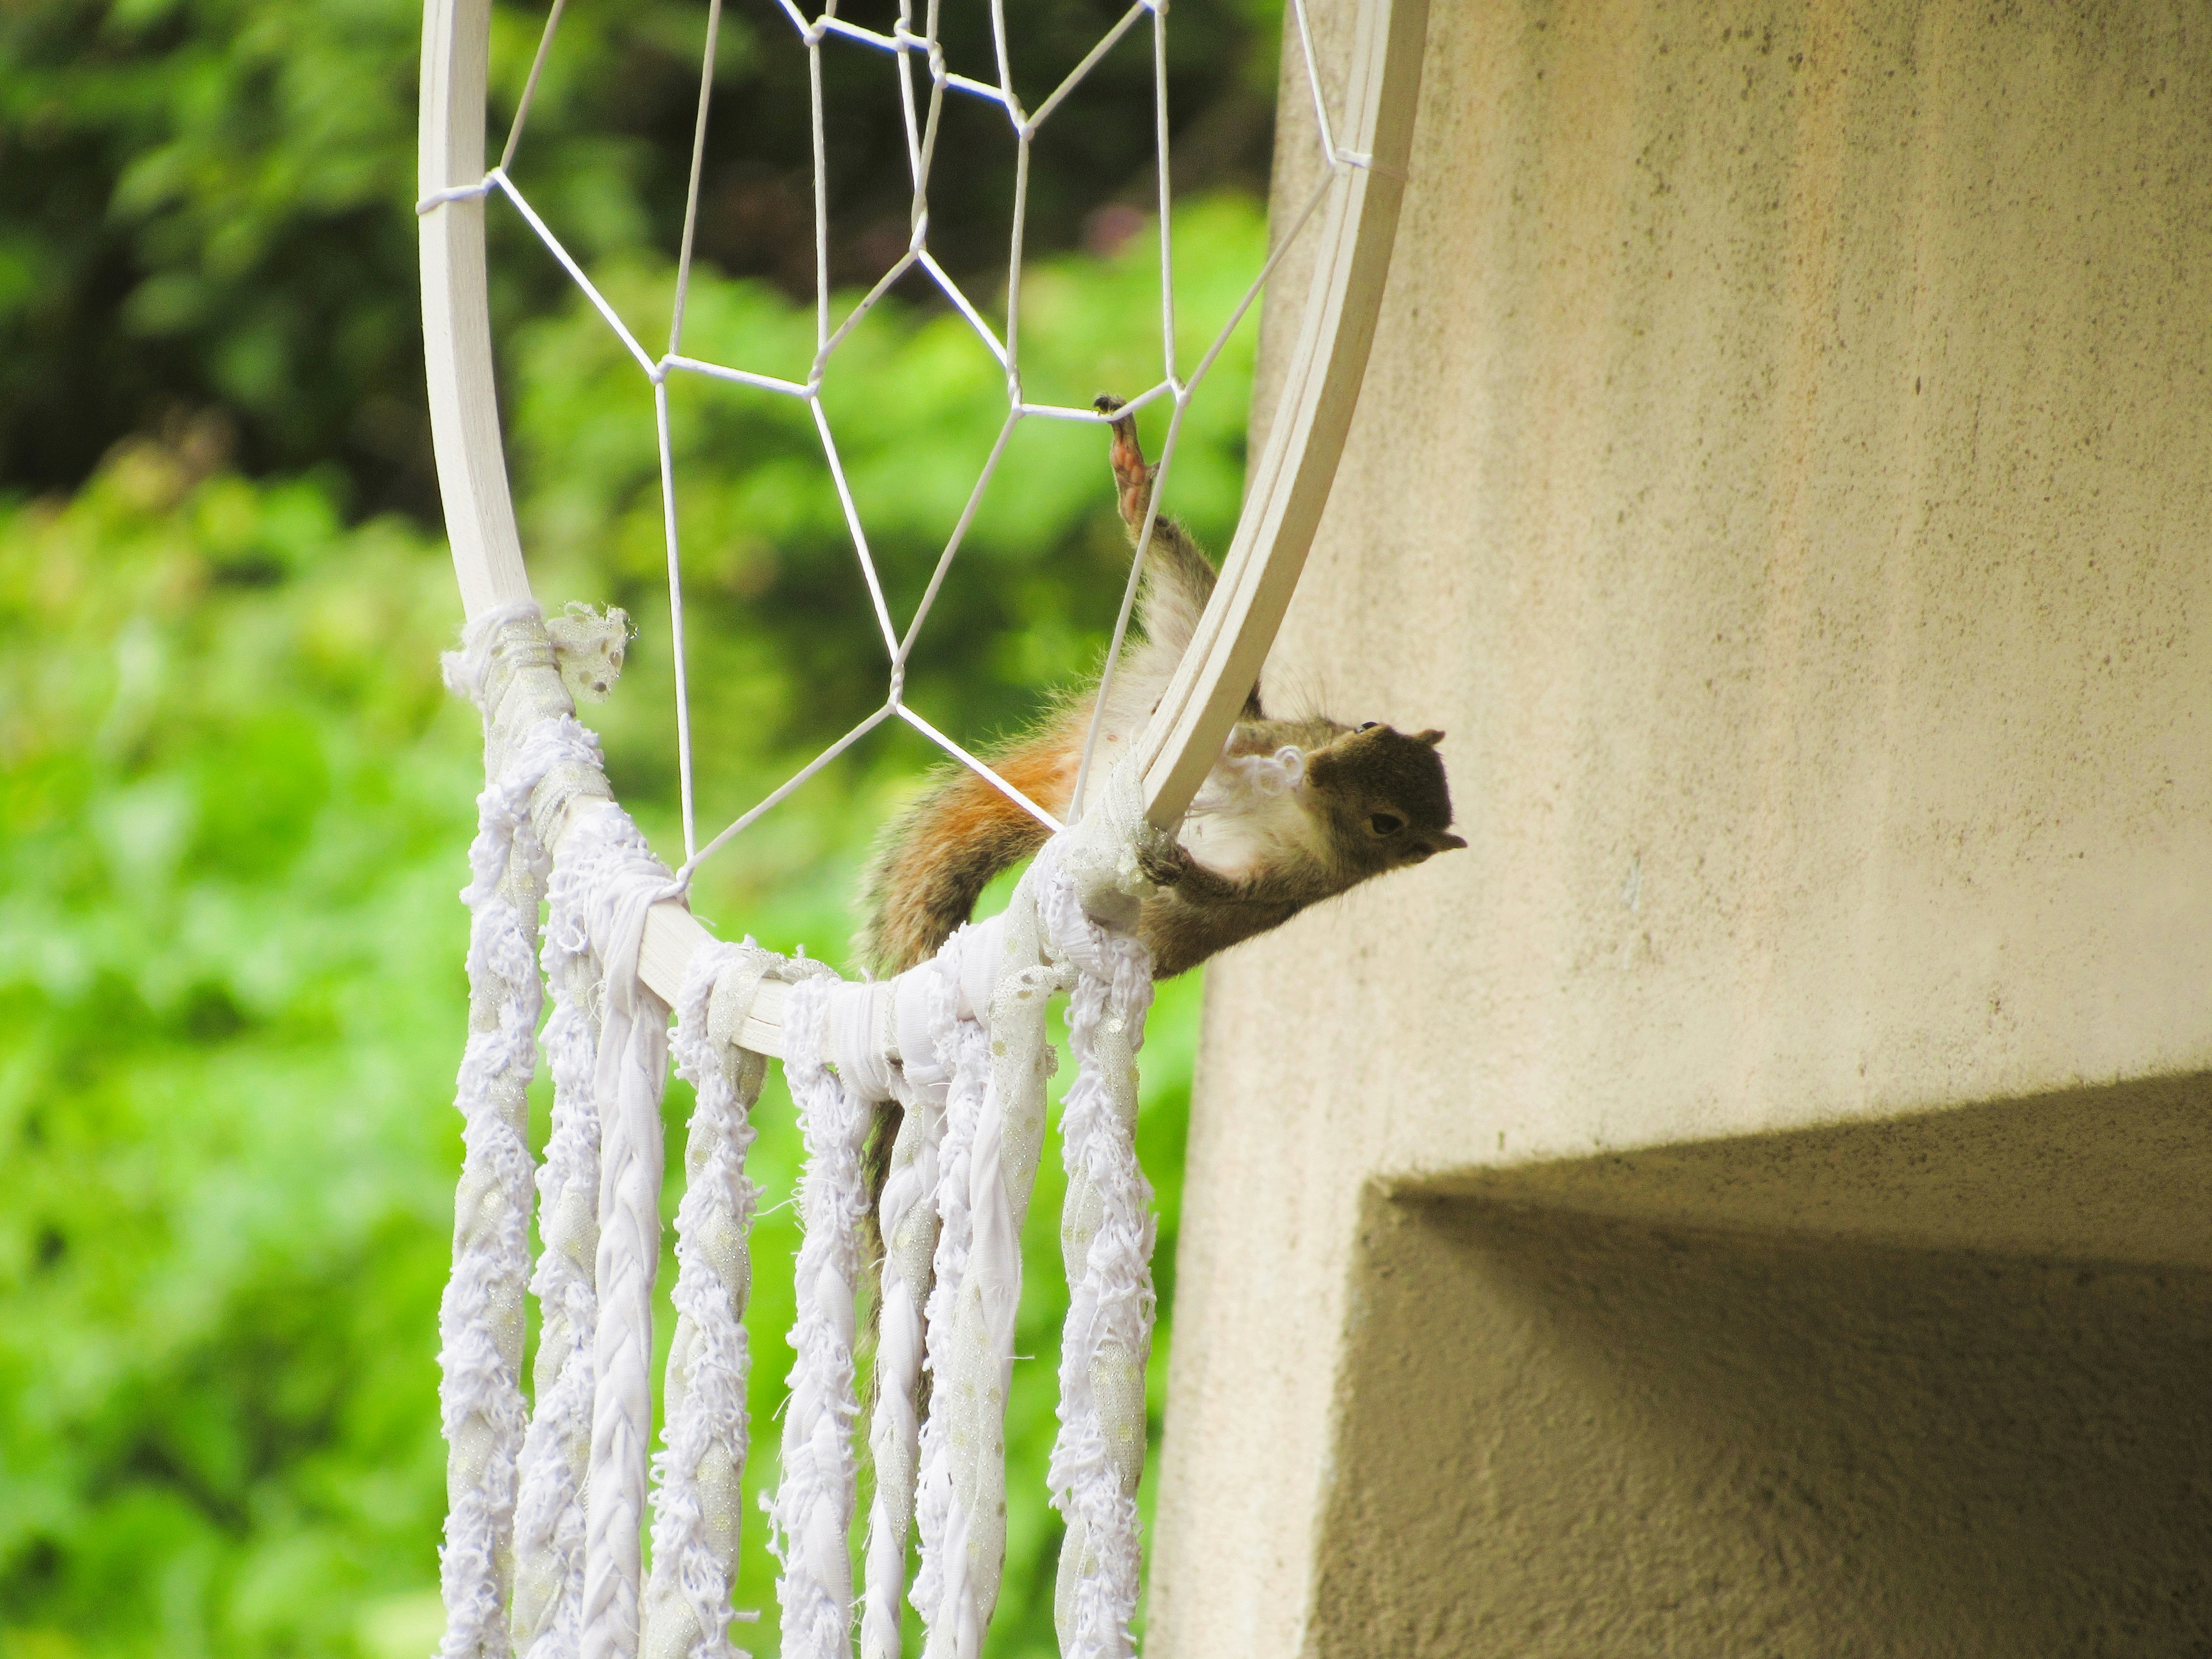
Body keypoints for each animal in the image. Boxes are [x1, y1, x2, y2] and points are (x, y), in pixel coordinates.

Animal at [859, 394, 1466, 982]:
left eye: (1385, 825)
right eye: (1368, 725)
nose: (1315, 768)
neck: (1291, 805)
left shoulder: (1283, 886)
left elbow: (1218, 896)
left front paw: (1176, 868)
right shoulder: (1295, 731)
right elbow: (1261, 733)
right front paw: (1241, 745)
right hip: (1196, 637)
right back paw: (1135, 489)